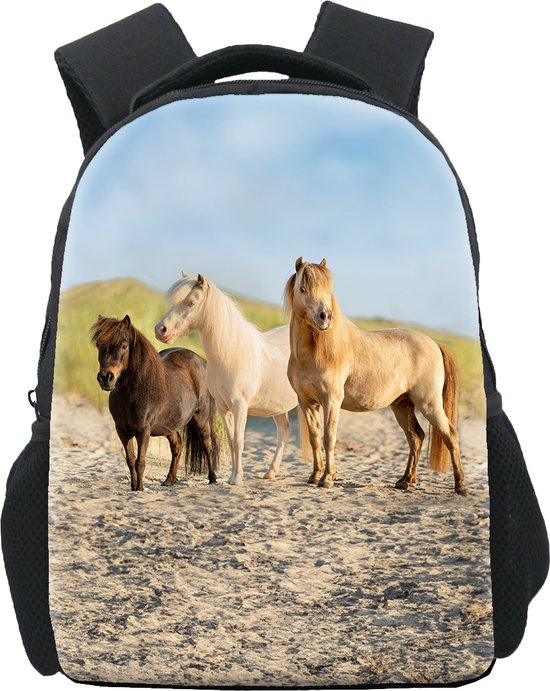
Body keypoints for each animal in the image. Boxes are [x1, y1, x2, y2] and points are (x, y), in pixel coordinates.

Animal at [91, 314, 219, 491]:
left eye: (124, 345)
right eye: (99, 345)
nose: (105, 378)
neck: (132, 392)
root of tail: (201, 361)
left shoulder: (143, 431)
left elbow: (140, 462)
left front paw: (139, 489)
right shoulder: (122, 431)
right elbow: (130, 461)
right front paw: (133, 488)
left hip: (201, 417)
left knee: (207, 445)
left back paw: (212, 479)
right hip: (170, 425)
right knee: (177, 446)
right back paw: (169, 481)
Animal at [154, 272, 307, 486]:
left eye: (191, 303)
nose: (160, 330)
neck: (231, 354)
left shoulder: (240, 405)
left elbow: (239, 441)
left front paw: (237, 479)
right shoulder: (223, 406)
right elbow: (232, 440)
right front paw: (232, 477)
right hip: (278, 407)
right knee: (284, 433)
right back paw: (271, 473)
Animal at [285, 258, 467, 494]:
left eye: (328, 290)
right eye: (303, 288)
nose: (326, 317)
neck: (315, 354)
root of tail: (434, 343)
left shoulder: (331, 401)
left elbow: (328, 438)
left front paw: (327, 478)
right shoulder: (306, 402)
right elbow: (315, 438)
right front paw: (315, 476)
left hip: (429, 404)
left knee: (450, 435)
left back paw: (460, 485)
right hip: (402, 405)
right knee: (416, 438)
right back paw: (405, 481)